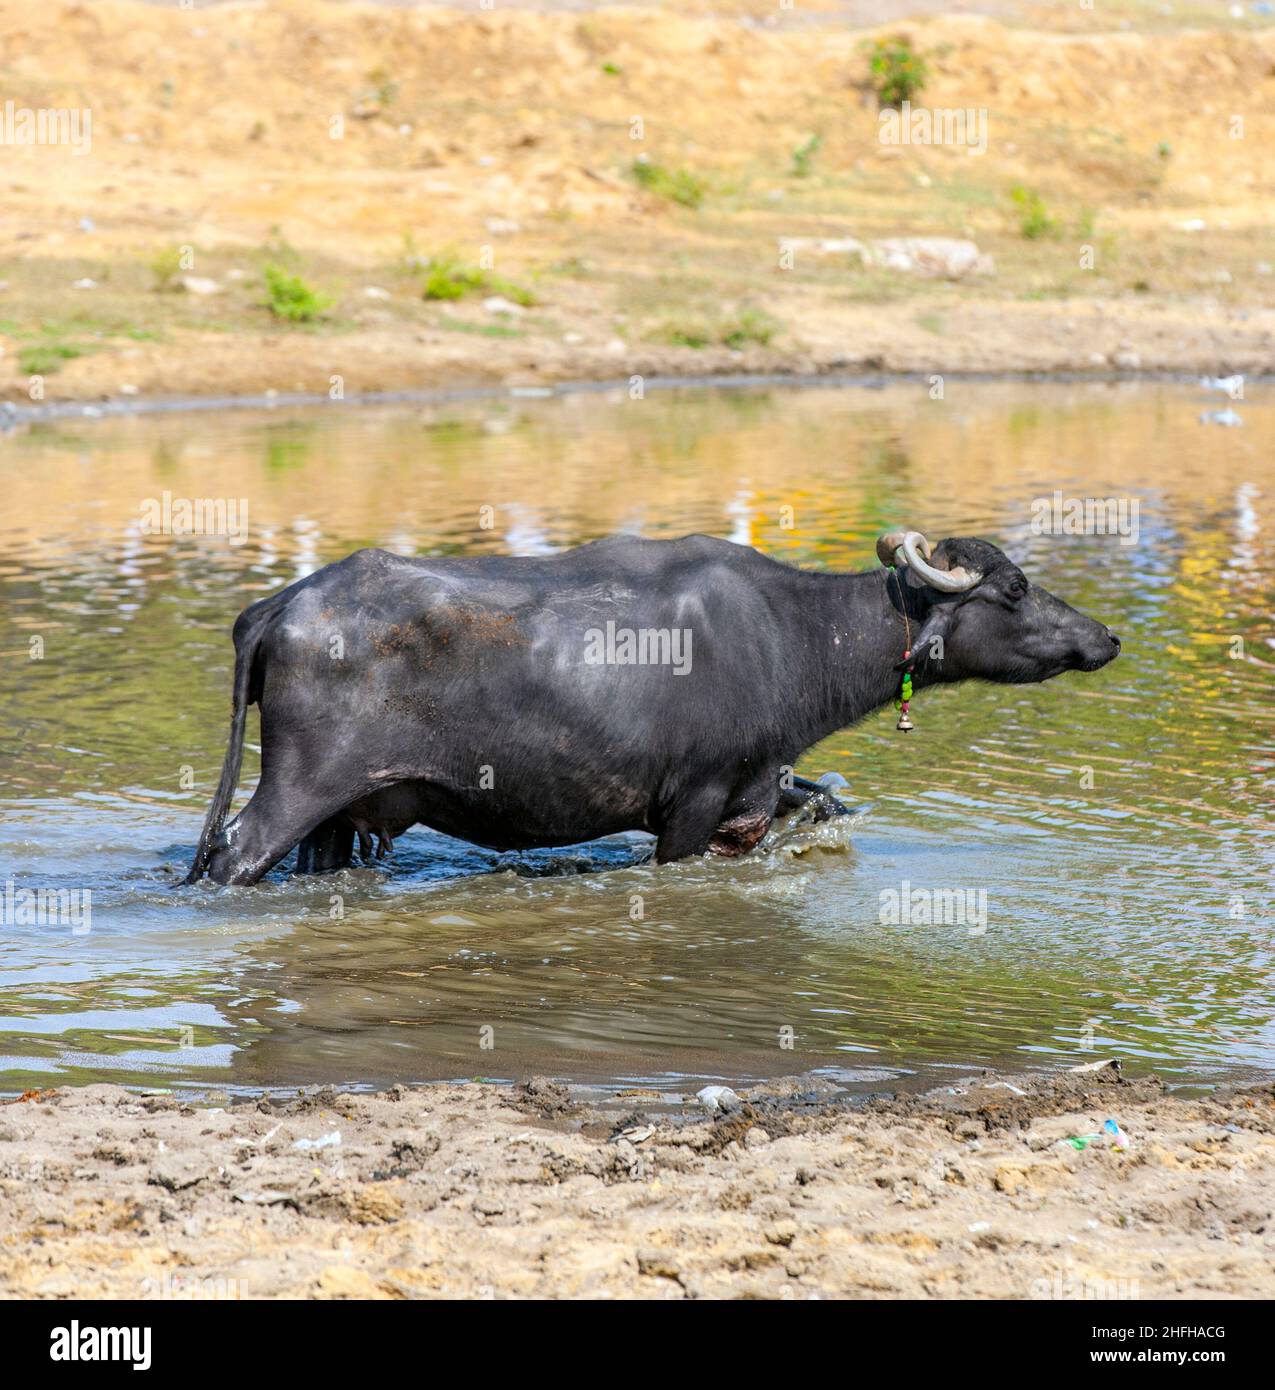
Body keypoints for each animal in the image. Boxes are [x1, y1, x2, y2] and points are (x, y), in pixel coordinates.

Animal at [185, 529, 1120, 886]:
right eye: (1014, 588)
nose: (1104, 637)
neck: (791, 635)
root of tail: (285, 602)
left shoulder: (754, 798)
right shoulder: (691, 804)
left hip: (341, 817)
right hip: (297, 787)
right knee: (233, 852)